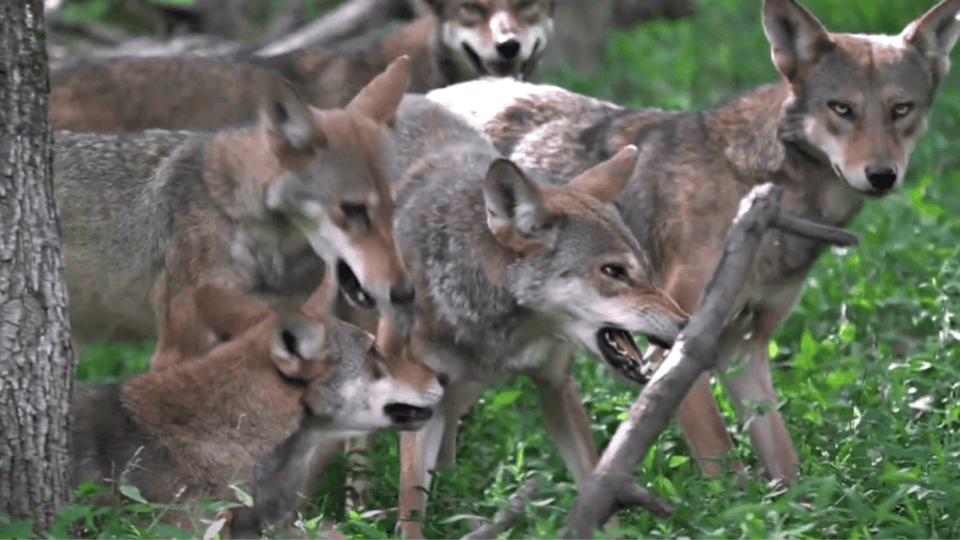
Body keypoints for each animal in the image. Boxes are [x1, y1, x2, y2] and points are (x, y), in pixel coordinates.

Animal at [383, 95, 688, 537]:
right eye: (613, 271)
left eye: (645, 271)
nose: (687, 324)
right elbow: (410, 506)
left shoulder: (556, 384)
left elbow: (596, 486)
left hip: (462, 391)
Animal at [426, 0, 960, 486]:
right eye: (842, 109)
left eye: (901, 110)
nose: (882, 175)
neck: (755, 185)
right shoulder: (675, 348)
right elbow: (725, 467)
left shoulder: (745, 351)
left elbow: (786, 467)